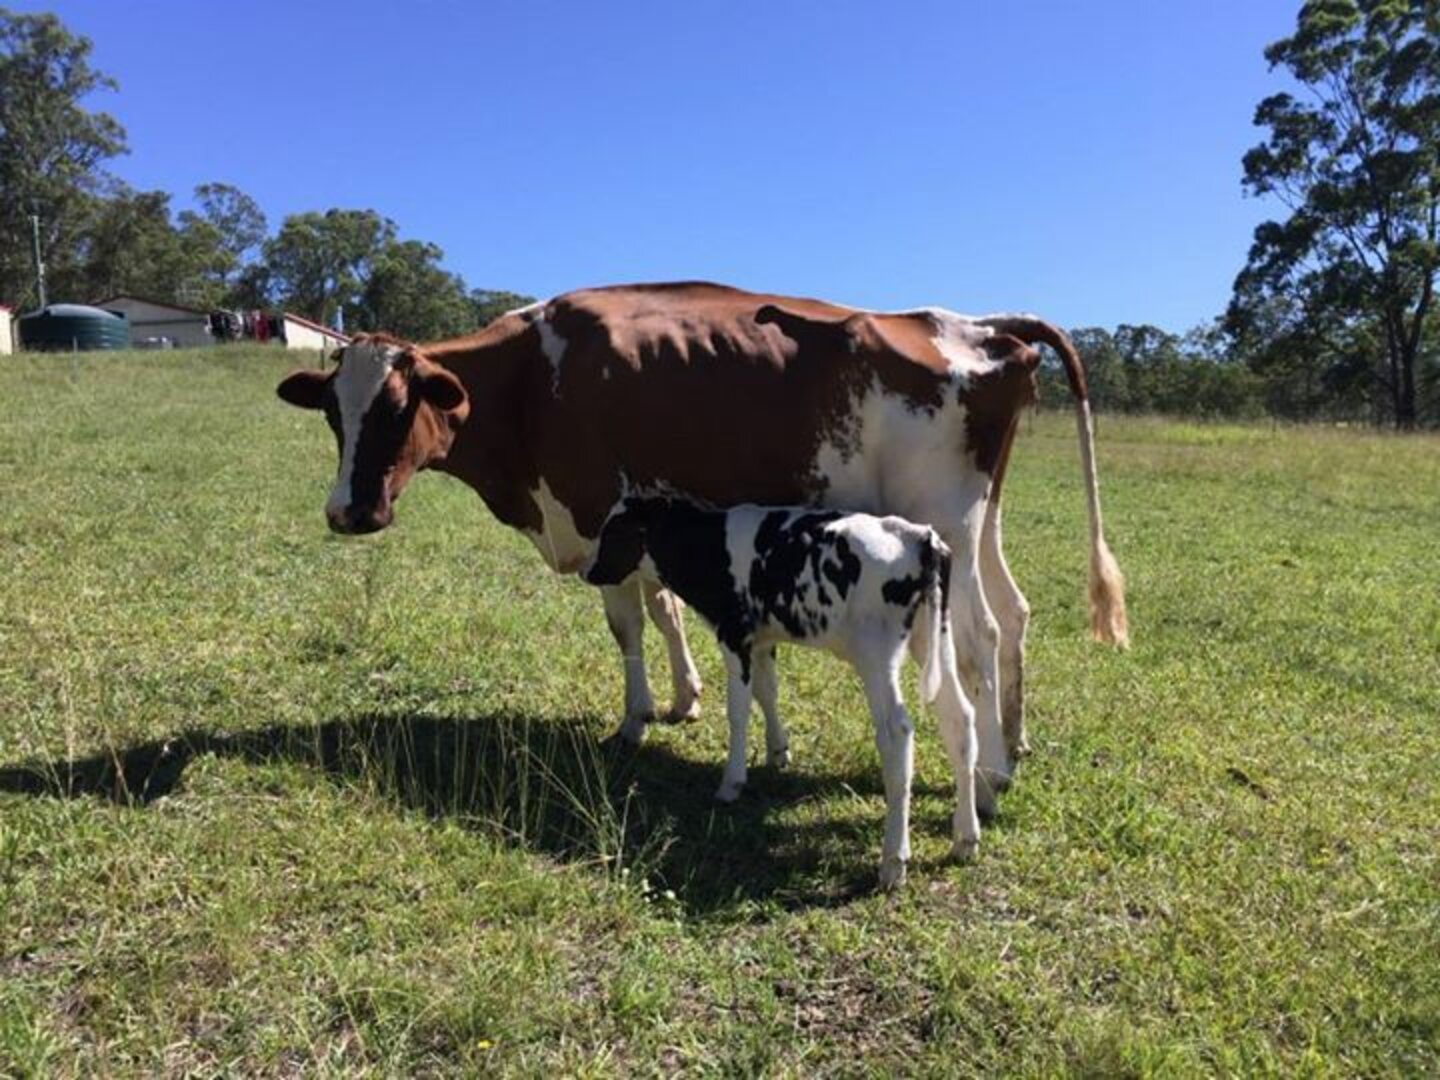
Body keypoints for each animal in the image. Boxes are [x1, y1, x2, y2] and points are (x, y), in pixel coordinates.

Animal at [275, 282, 1128, 813]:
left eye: (396, 408)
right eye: (334, 415)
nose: (348, 512)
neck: (529, 381)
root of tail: (979, 325)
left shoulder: (599, 519)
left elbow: (626, 624)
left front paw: (634, 718)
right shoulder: (645, 526)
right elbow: (664, 611)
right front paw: (685, 698)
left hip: (944, 517)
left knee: (978, 637)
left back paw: (985, 777)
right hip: (980, 521)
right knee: (1014, 616)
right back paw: (1011, 743)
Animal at [583, 497, 977, 889]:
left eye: (614, 532)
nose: (587, 572)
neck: (711, 544)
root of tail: (916, 535)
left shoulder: (735, 634)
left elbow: (738, 710)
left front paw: (732, 782)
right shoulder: (761, 640)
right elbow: (767, 692)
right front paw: (778, 753)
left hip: (876, 655)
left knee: (897, 734)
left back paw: (893, 862)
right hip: (934, 639)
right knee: (959, 717)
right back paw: (966, 839)